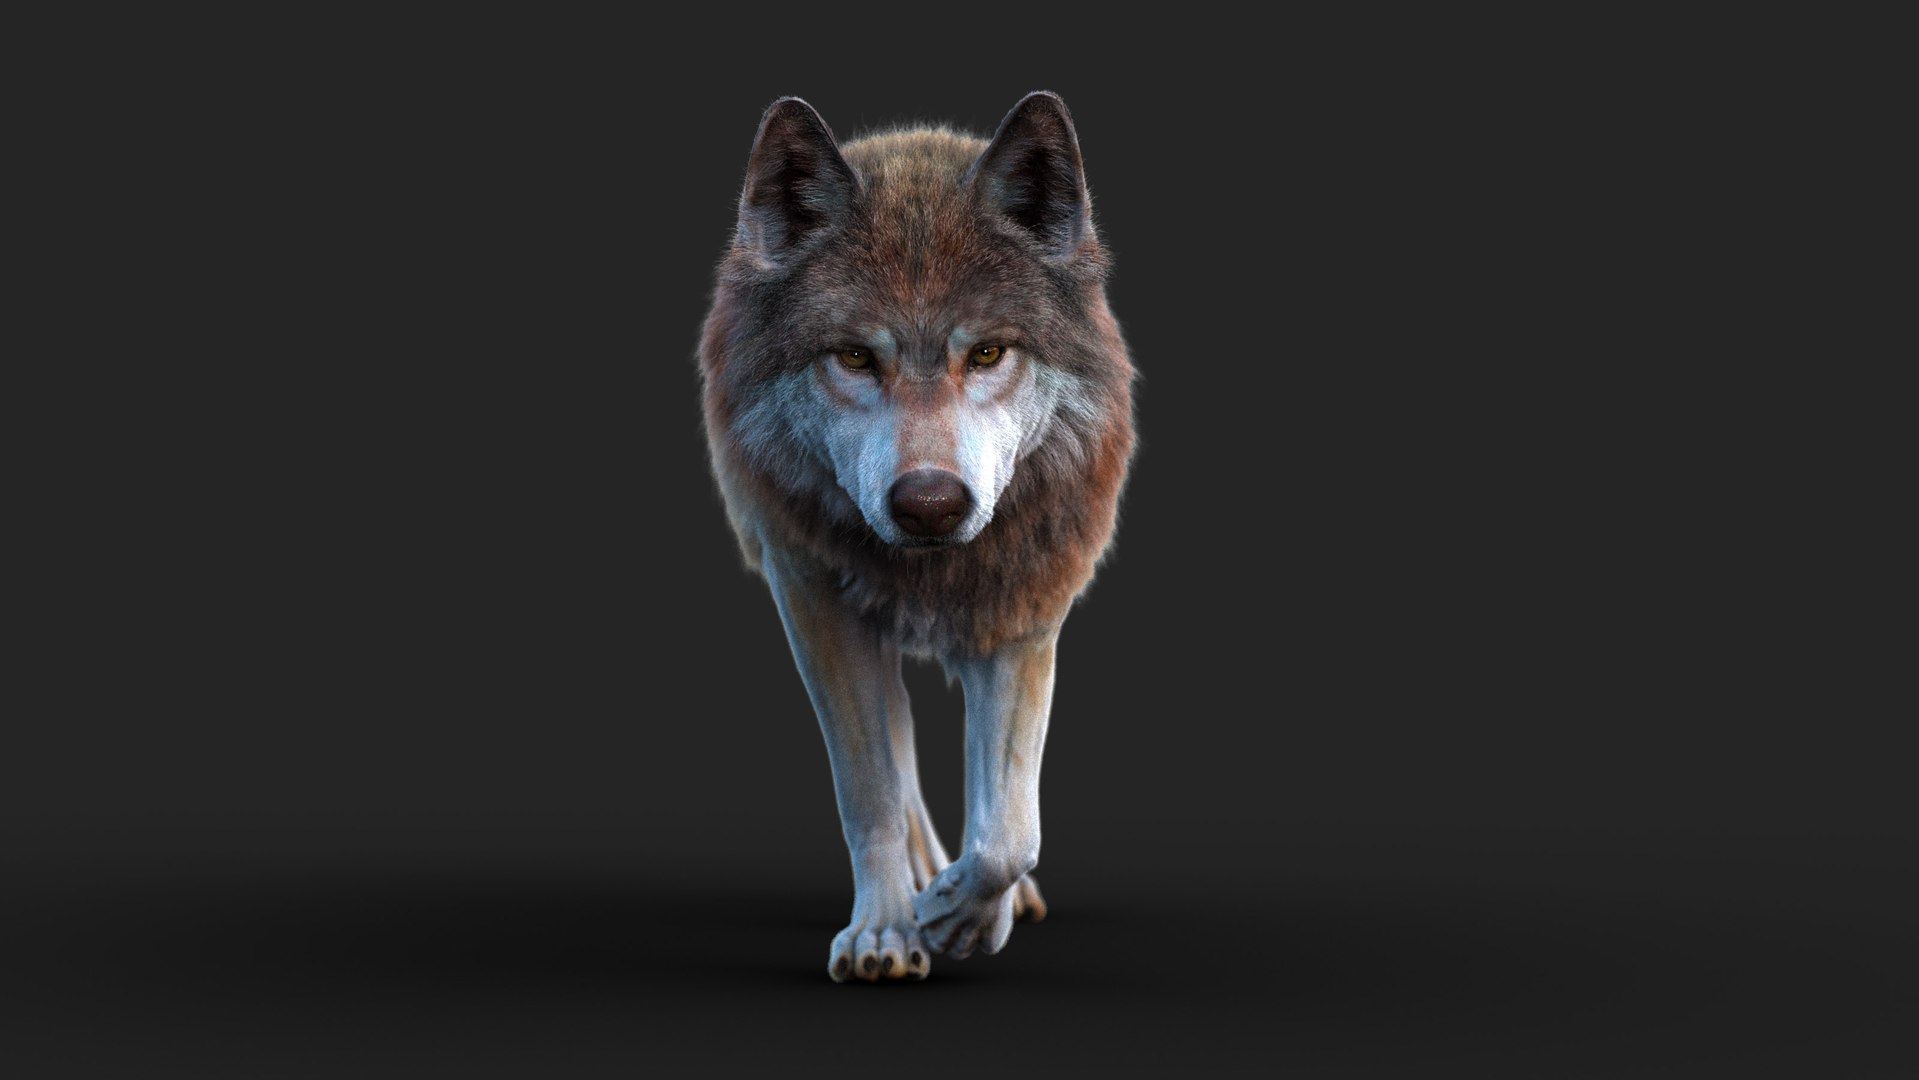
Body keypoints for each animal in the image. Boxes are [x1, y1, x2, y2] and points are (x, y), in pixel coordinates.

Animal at [697, 91, 1135, 982]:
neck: (934, 573)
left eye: (989, 352)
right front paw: (886, 931)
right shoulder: (818, 607)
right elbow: (868, 788)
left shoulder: (1023, 611)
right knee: (893, 753)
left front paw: (968, 914)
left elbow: (1009, 829)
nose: (929, 504)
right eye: (856, 357)